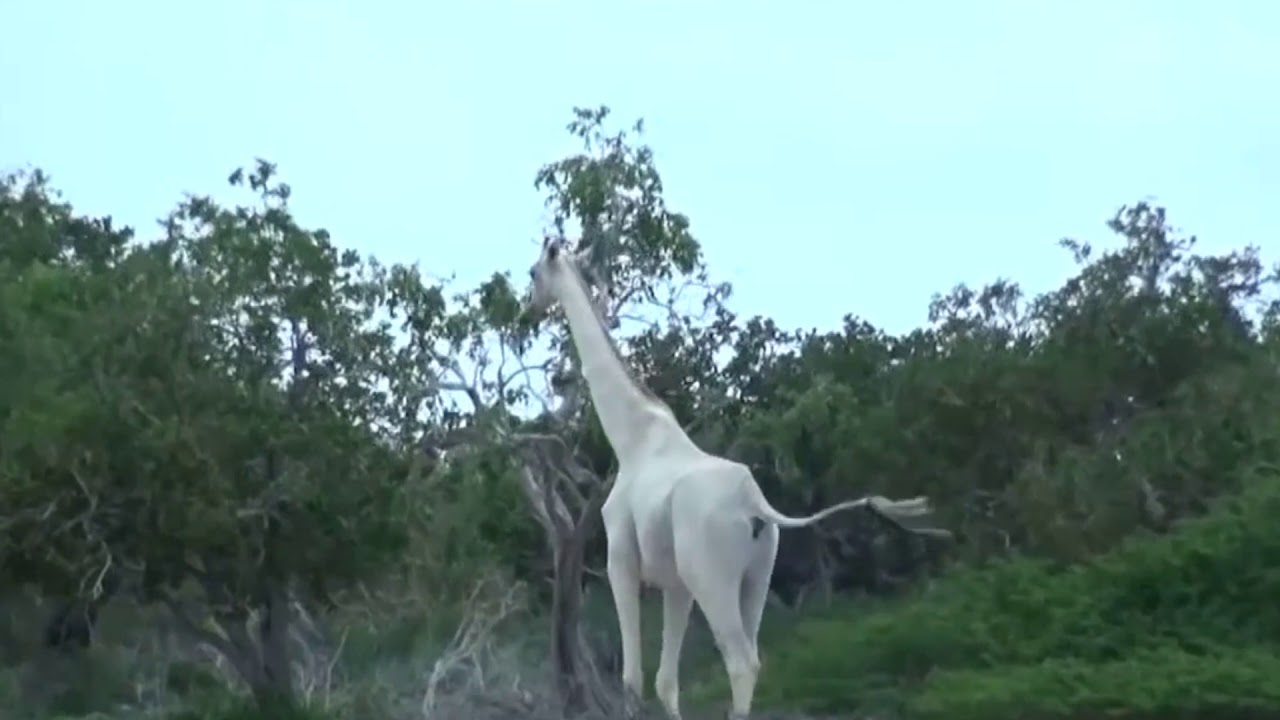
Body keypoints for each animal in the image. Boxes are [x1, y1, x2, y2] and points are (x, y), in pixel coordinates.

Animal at [525, 237, 949, 720]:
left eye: (534, 272)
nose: (528, 308)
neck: (631, 438)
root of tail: (754, 504)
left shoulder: (621, 561)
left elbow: (633, 679)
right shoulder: (675, 583)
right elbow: (666, 681)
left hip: (712, 575)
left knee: (740, 661)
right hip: (754, 575)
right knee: (753, 657)